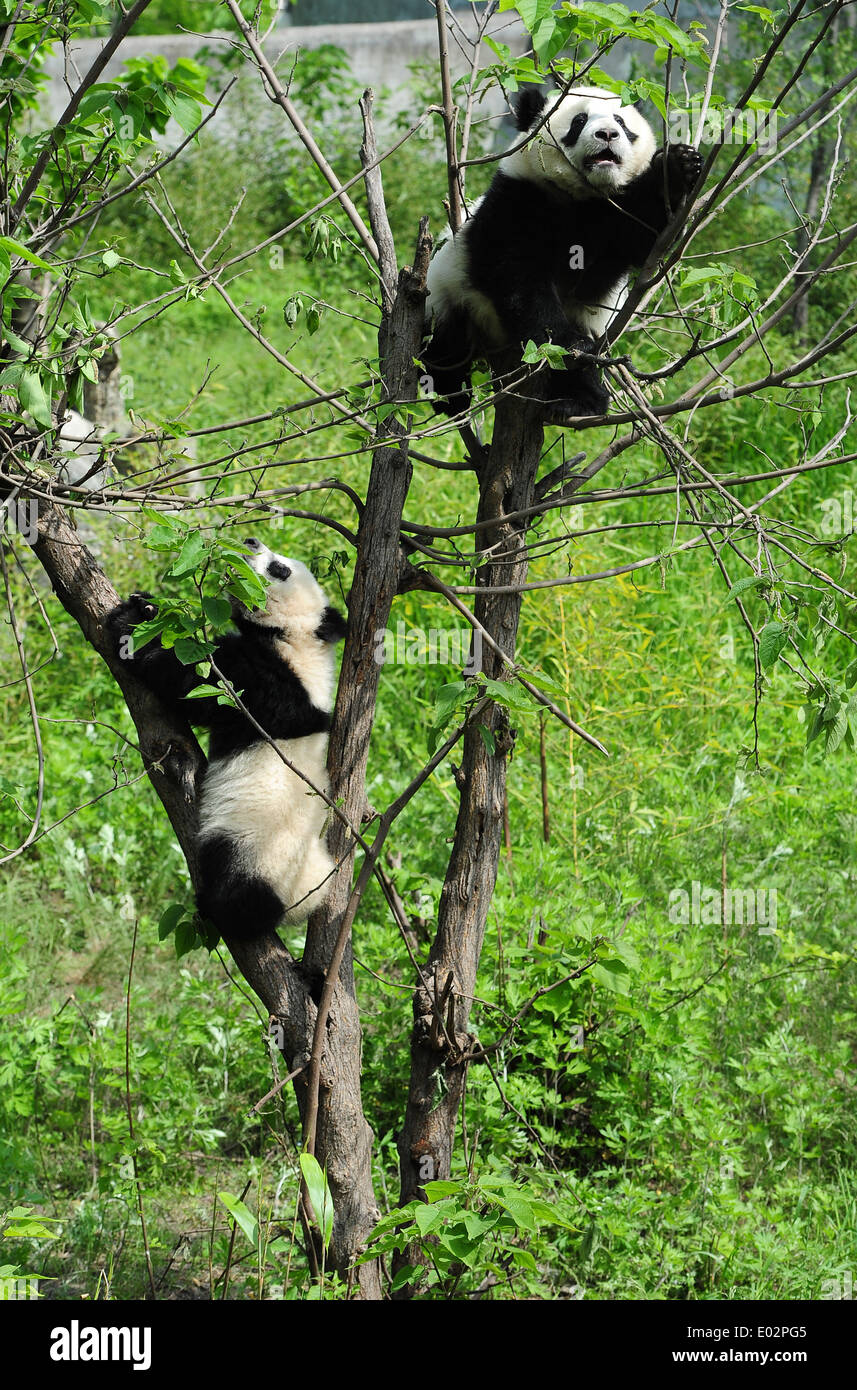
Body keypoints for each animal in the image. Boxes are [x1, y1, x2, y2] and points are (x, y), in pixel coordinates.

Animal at [108, 538, 347, 940]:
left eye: (280, 568)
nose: (250, 541)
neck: (295, 640)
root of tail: (302, 905)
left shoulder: (269, 689)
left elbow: (195, 681)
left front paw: (130, 623)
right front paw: (147, 604)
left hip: (255, 852)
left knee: (236, 893)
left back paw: (213, 909)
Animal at [422, 86, 703, 420]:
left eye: (621, 121)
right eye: (579, 121)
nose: (607, 133)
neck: (582, 196)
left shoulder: (614, 216)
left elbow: (641, 238)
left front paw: (678, 165)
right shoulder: (518, 200)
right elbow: (518, 278)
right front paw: (568, 341)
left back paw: (579, 400)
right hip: (447, 294)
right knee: (445, 344)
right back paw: (451, 395)